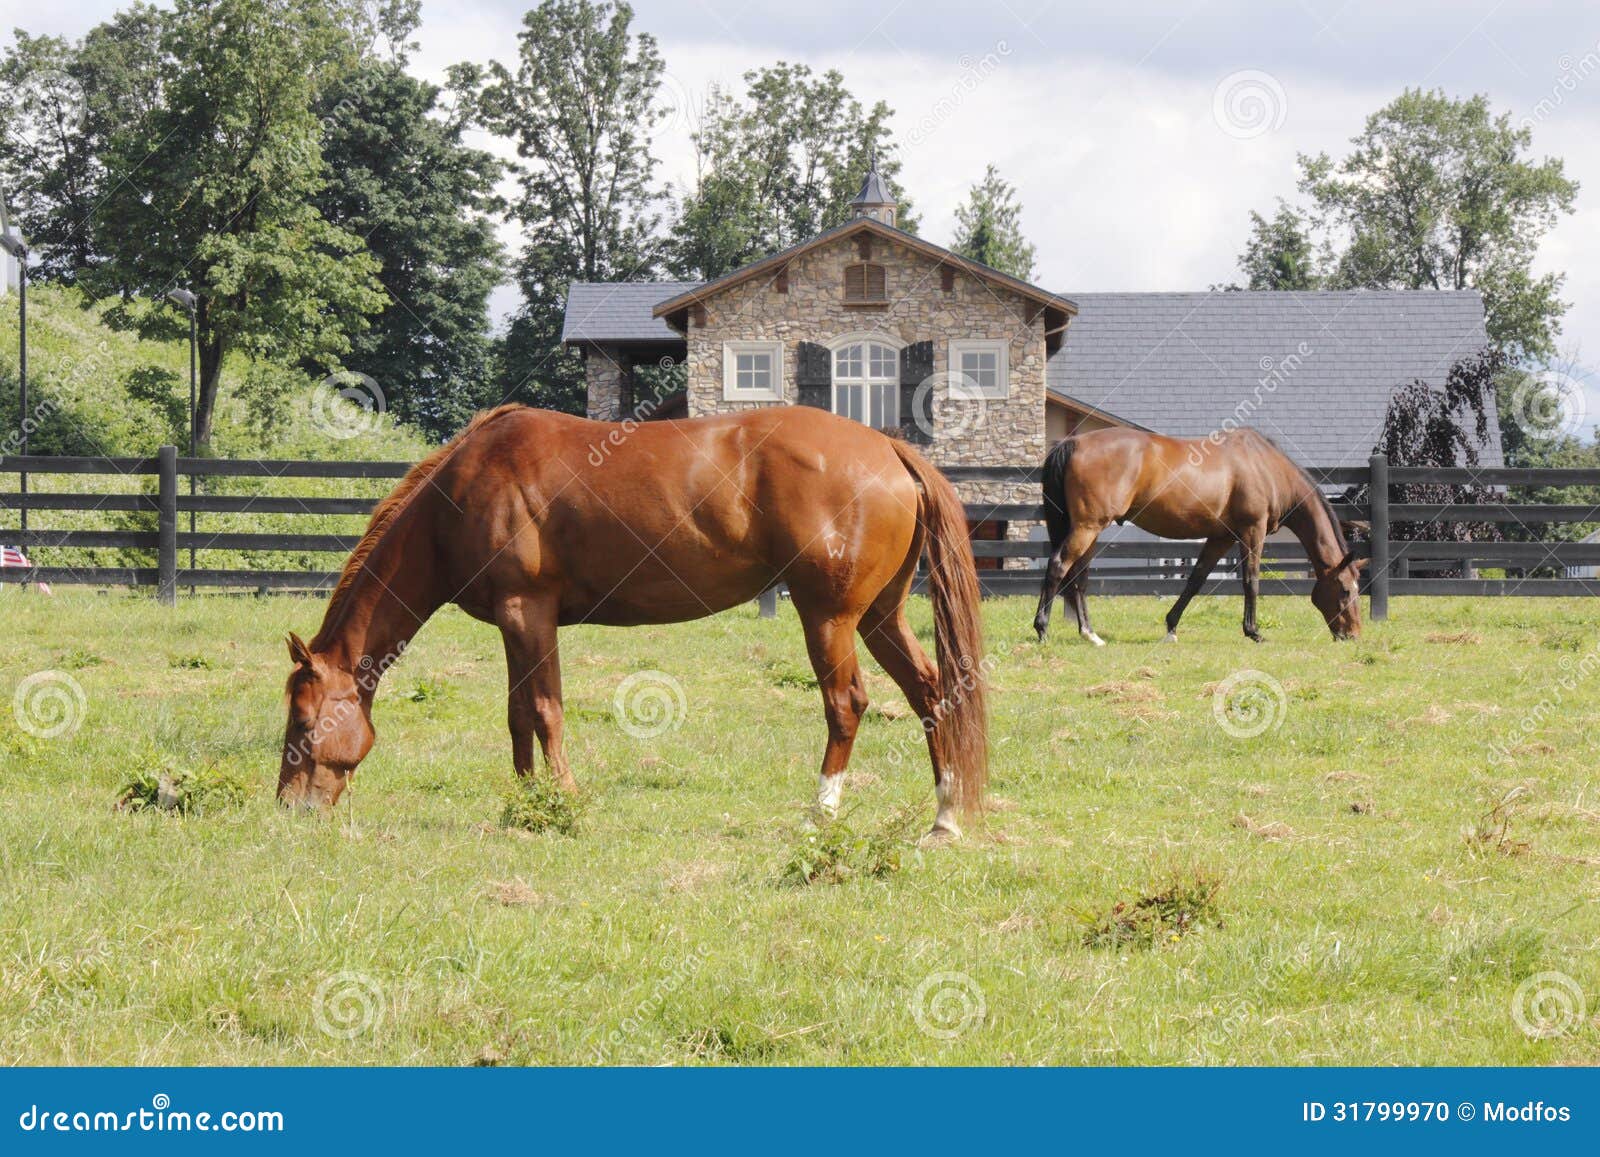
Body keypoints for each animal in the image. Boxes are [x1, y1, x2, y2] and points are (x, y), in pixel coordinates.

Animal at [277, 404, 988, 837]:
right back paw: (945, 818)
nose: (289, 808)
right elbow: (516, 713)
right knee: (930, 692)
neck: (461, 494)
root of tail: (889, 449)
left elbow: (544, 709)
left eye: (305, 722)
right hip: (880, 616)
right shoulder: (514, 623)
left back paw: (822, 814)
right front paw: (525, 802)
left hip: (829, 617)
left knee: (847, 704)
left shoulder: (527, 612)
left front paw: (564, 801)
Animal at [1031, 427, 1367, 645]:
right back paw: (1042, 629)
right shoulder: (1252, 531)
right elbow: (1251, 582)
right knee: (1059, 567)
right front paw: (1253, 631)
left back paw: (1090, 634)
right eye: (1345, 590)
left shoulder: (1221, 538)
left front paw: (1171, 627)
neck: (1265, 467)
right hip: (1088, 527)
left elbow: (1195, 581)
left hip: (1090, 529)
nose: (1353, 635)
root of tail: (1073, 442)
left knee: (1079, 577)